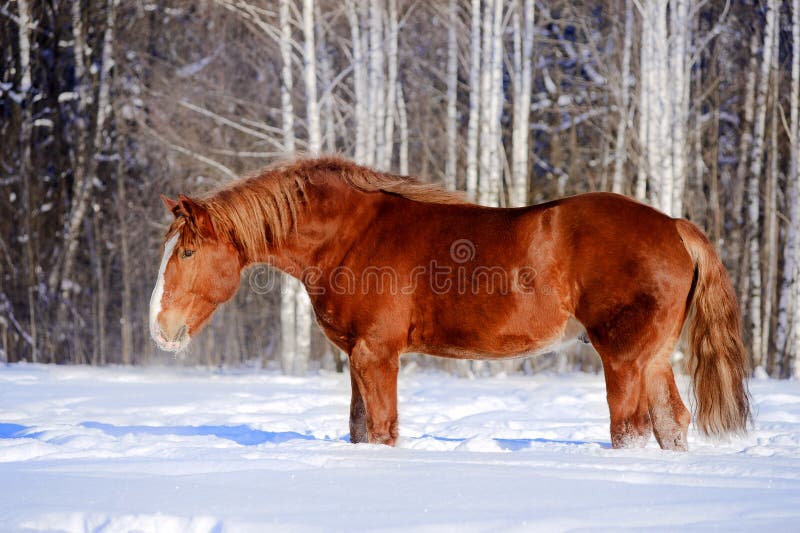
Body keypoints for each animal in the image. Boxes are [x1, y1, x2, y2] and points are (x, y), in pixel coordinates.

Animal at [150, 156, 750, 451]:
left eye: (186, 250)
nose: (160, 329)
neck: (350, 234)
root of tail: (673, 226)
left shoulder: (376, 353)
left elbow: (383, 430)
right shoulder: (358, 357)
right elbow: (361, 429)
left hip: (623, 359)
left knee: (629, 430)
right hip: (653, 360)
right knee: (672, 423)